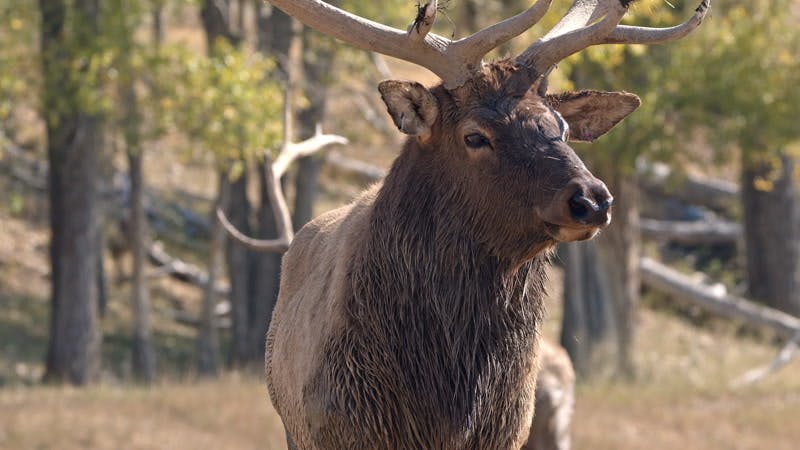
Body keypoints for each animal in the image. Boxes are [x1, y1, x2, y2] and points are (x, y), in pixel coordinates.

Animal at [221, 0, 710, 448]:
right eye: (474, 135)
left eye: (563, 127)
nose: (591, 199)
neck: (450, 400)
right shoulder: (338, 430)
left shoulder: (506, 434)